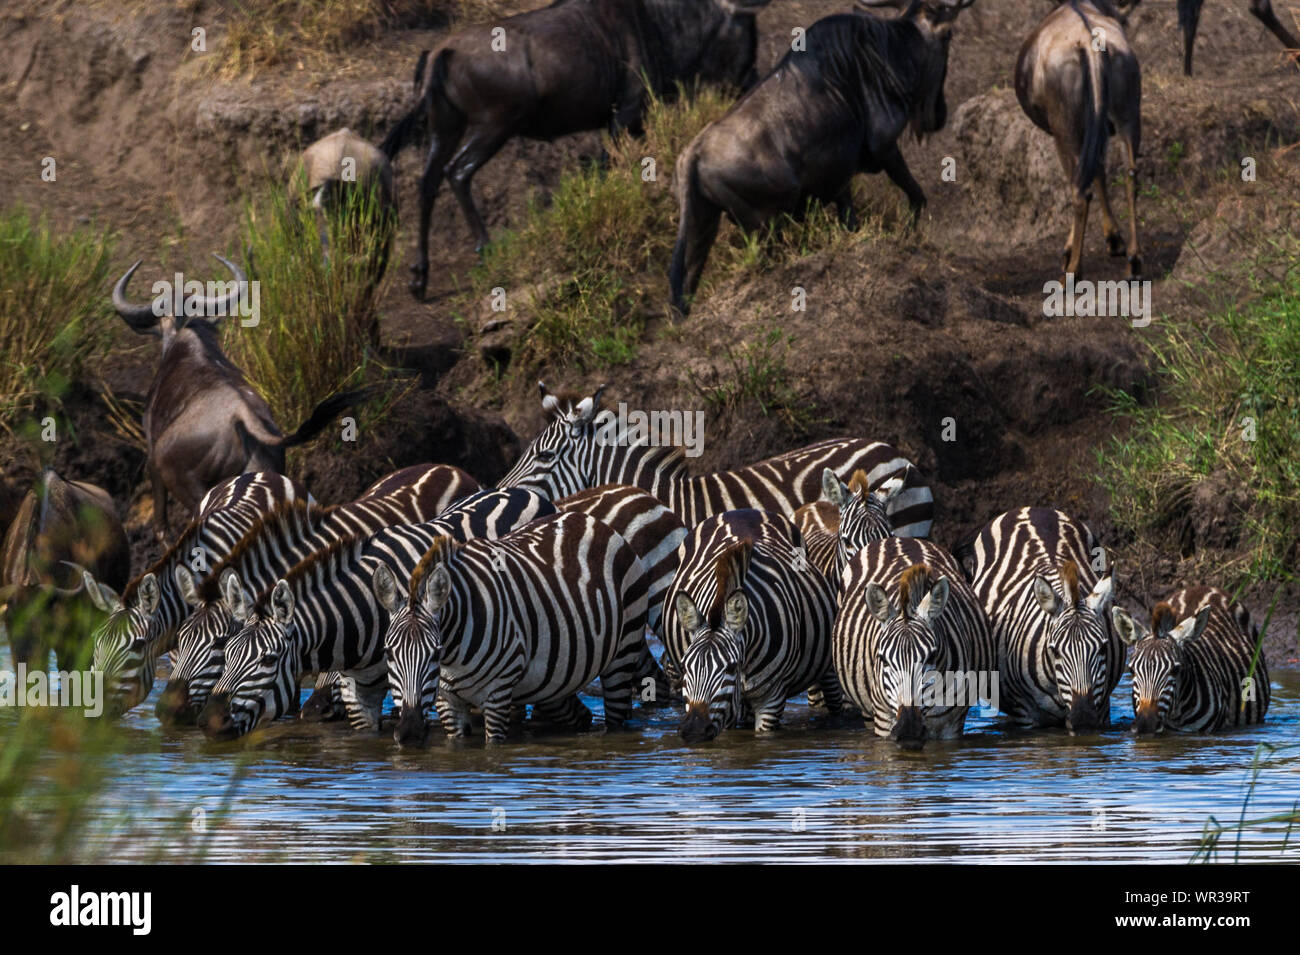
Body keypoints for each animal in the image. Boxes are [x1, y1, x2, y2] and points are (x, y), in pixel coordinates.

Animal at [196, 488, 554, 739]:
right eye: (227, 651)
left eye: (268, 659)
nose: (210, 722)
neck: (360, 607)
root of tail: (526, 492)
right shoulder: (359, 692)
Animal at [370, 510, 648, 746]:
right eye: (389, 653)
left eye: (436, 653)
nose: (409, 732)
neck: (452, 656)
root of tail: (593, 521)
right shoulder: (447, 700)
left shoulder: (498, 693)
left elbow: (493, 746)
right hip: (558, 675)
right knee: (580, 714)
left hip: (624, 651)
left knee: (615, 718)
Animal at [832, 537, 995, 745]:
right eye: (883, 660)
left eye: (932, 657)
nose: (908, 730)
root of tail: (900, 538)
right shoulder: (884, 720)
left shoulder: (951, 725)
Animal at [966, 507, 1119, 733]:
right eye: (1054, 651)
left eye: (1102, 648)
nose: (1084, 719)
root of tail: (1030, 509)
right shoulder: (1025, 713)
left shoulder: (1103, 706)